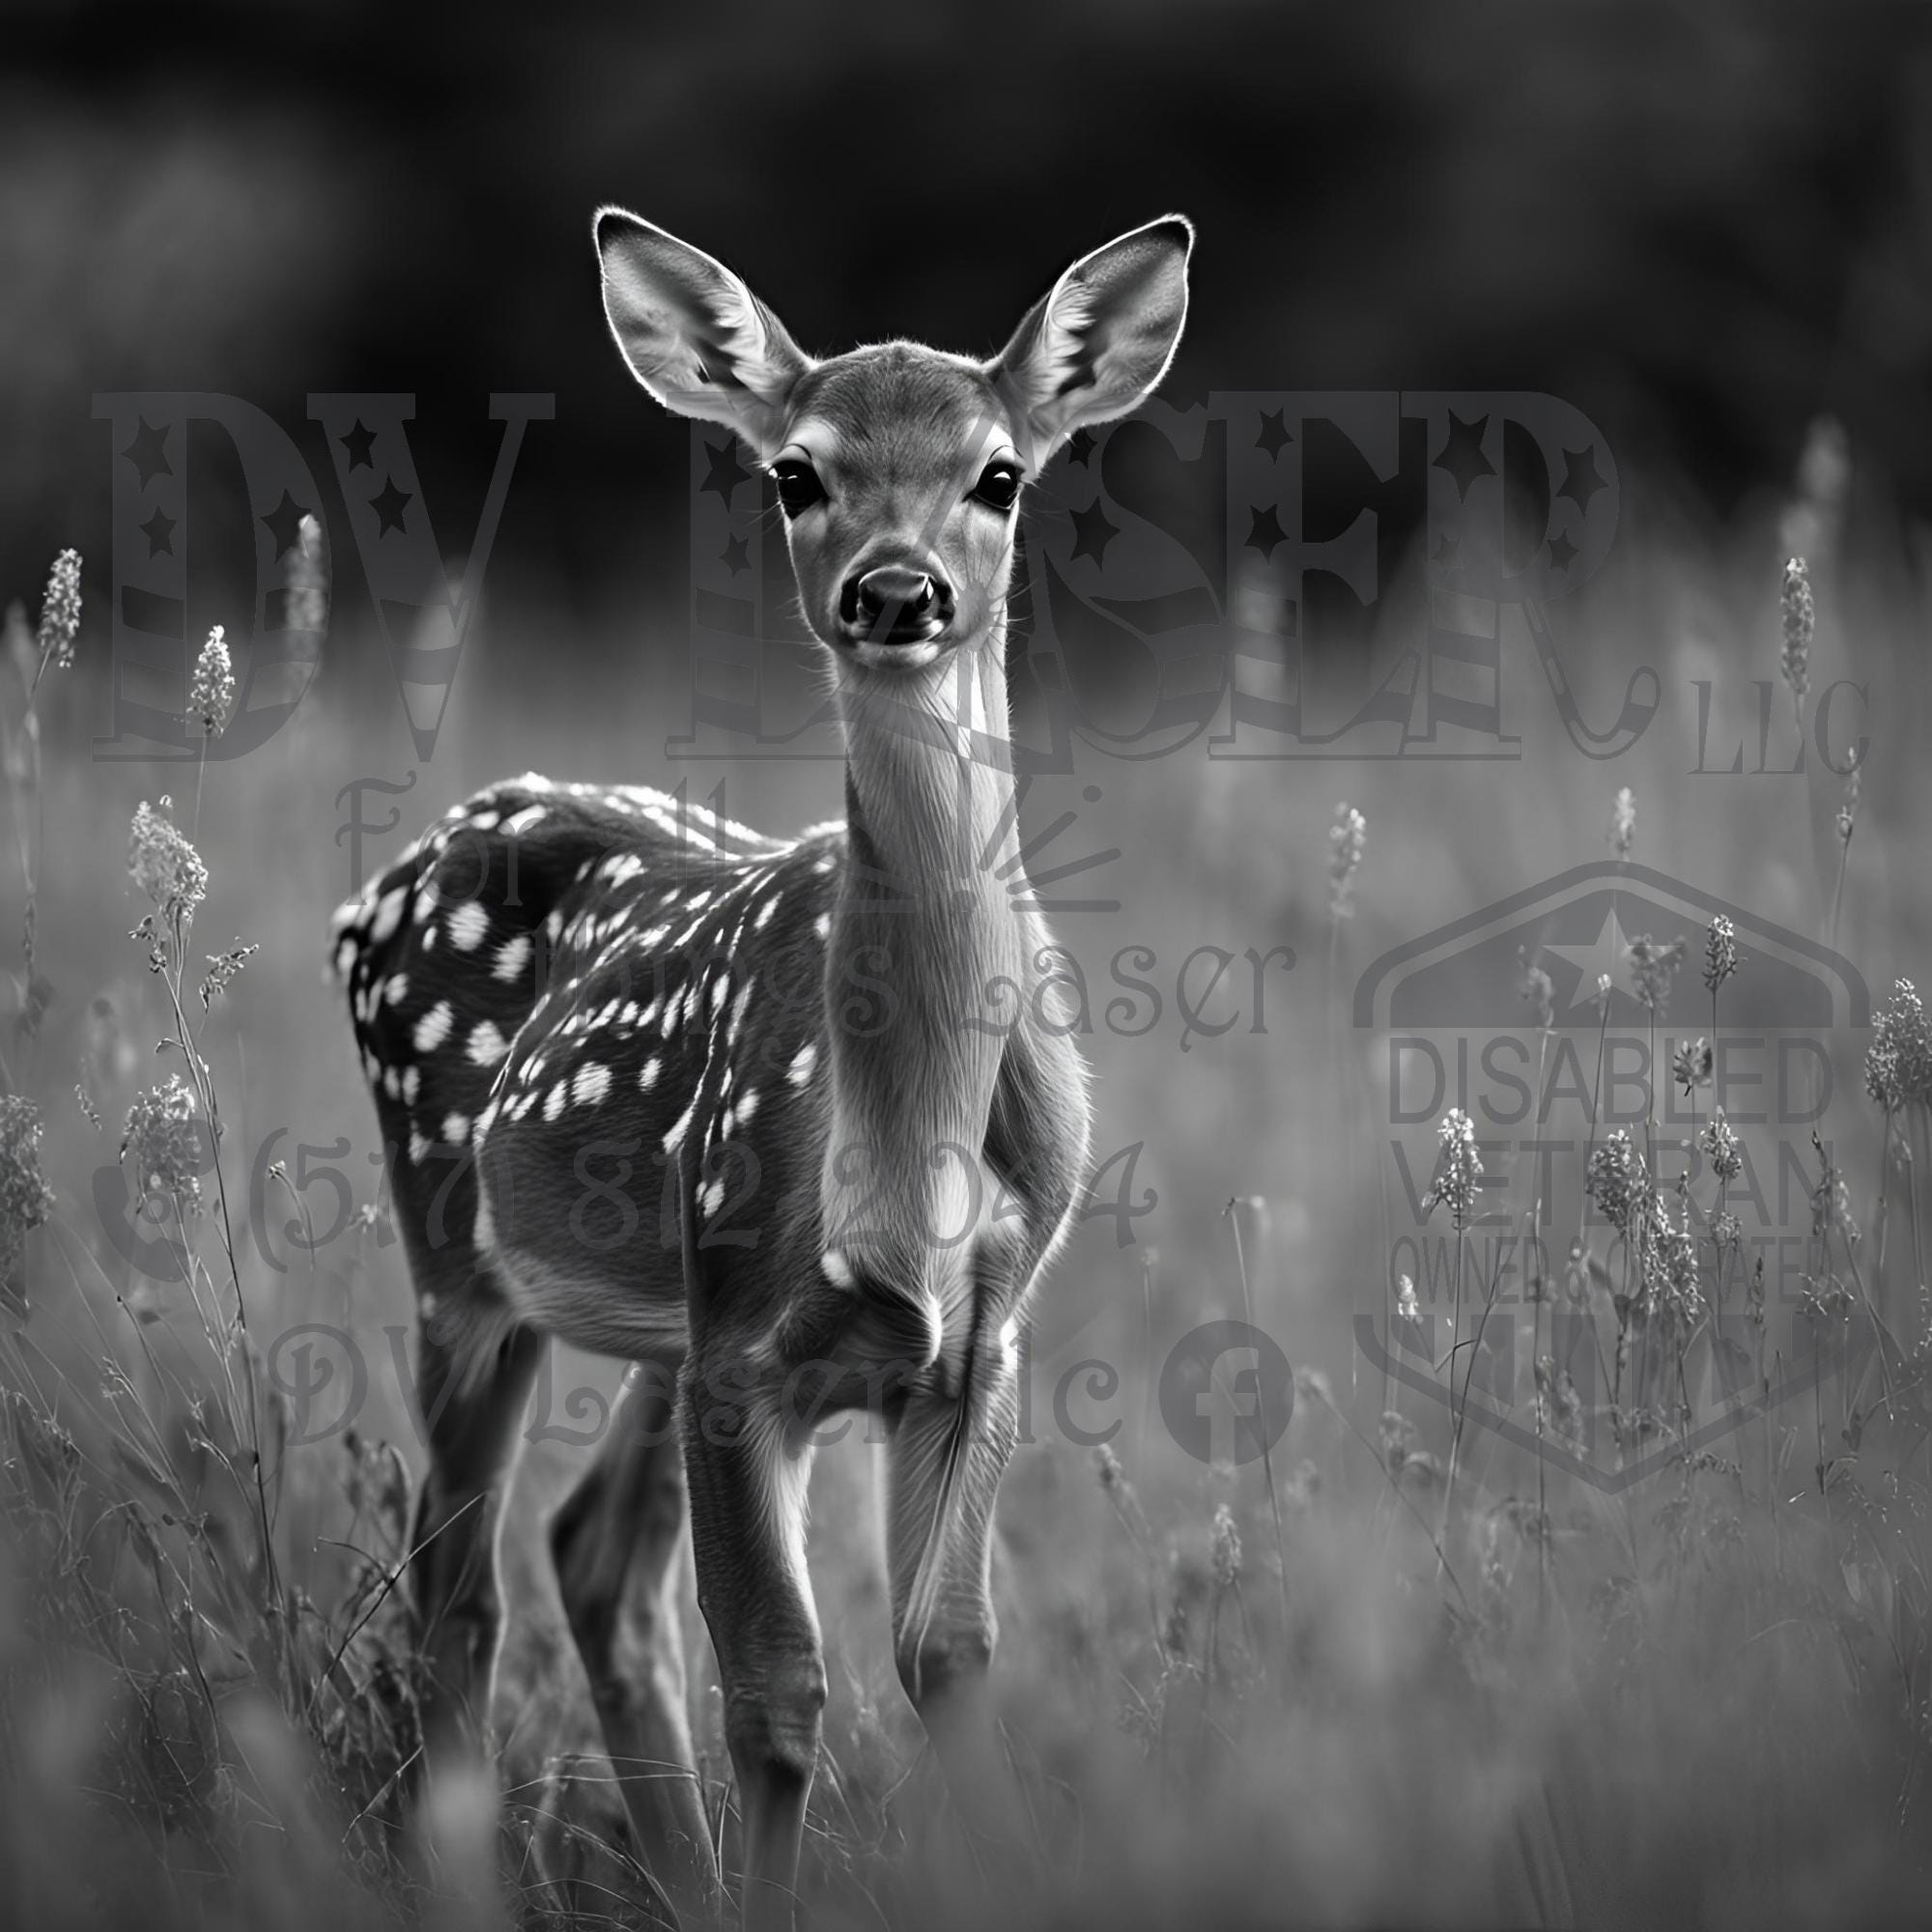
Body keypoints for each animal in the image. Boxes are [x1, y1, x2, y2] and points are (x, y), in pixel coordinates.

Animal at [328, 206, 1192, 1927]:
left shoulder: (976, 1342)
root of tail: (384, 881)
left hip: (654, 1322)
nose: (895, 588)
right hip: (463, 1262)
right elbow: (784, 1690)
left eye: (1002, 474)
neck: (909, 1148)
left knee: (589, 1559)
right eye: (796, 472)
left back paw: (669, 1873)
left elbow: (946, 1657)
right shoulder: (745, 1351)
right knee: (459, 1587)